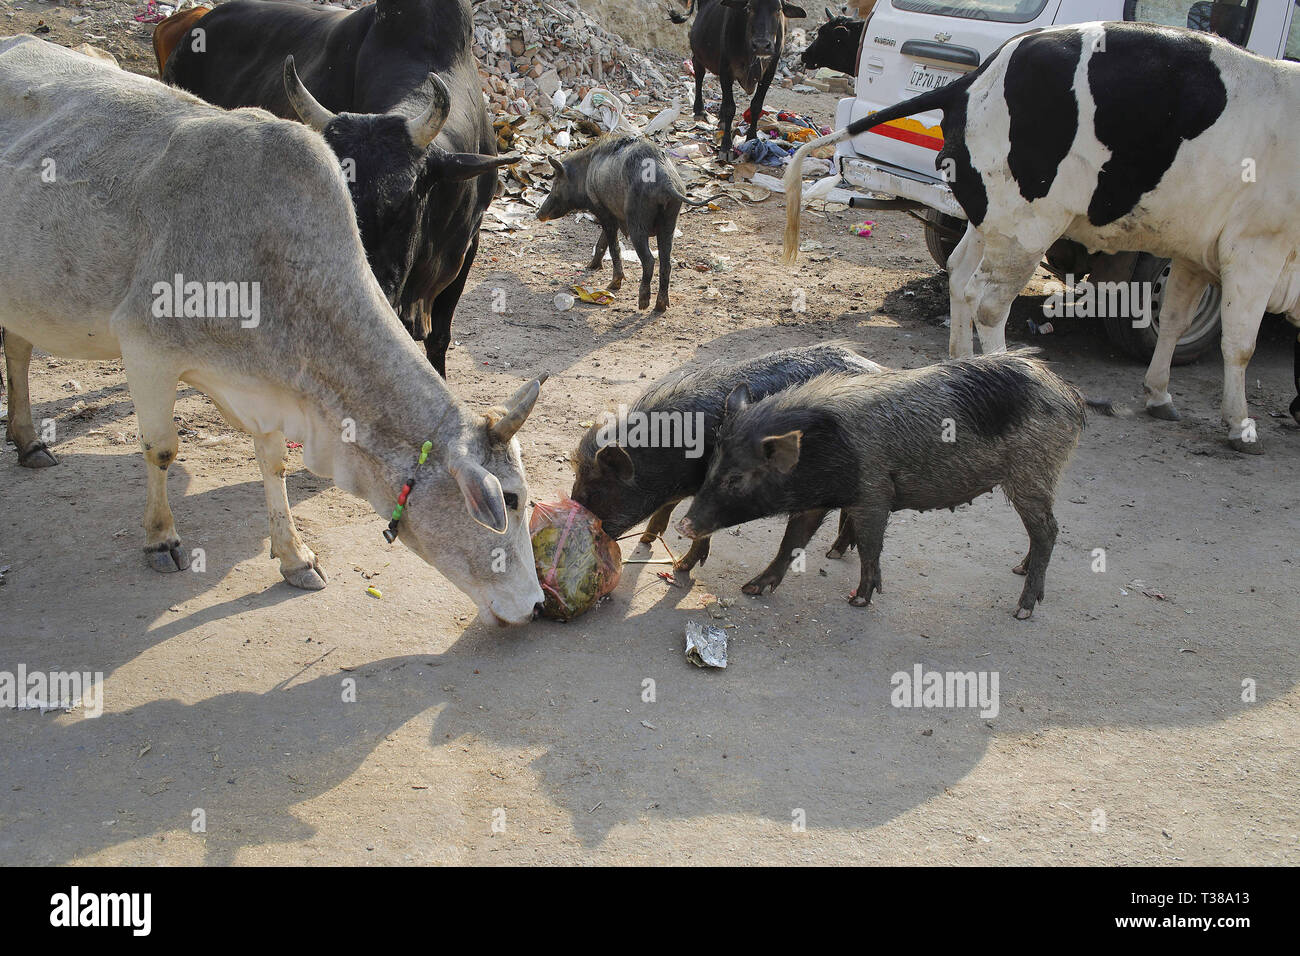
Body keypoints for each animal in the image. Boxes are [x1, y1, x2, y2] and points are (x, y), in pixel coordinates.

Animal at [689, 0, 808, 160]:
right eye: (749, 7)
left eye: (778, 9)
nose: (762, 45)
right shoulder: (726, 67)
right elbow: (730, 108)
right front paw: (726, 146)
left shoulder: (770, 71)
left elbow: (756, 105)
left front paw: (751, 138)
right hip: (699, 53)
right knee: (699, 70)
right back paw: (700, 110)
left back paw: (722, 120)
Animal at [784, 22, 1300, 454]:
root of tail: (975, 80)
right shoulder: (1256, 247)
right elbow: (1240, 344)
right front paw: (1240, 425)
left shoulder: (1195, 252)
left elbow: (1173, 320)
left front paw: (1159, 394)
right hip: (1026, 228)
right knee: (989, 303)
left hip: (992, 221)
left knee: (959, 277)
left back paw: (962, 364)